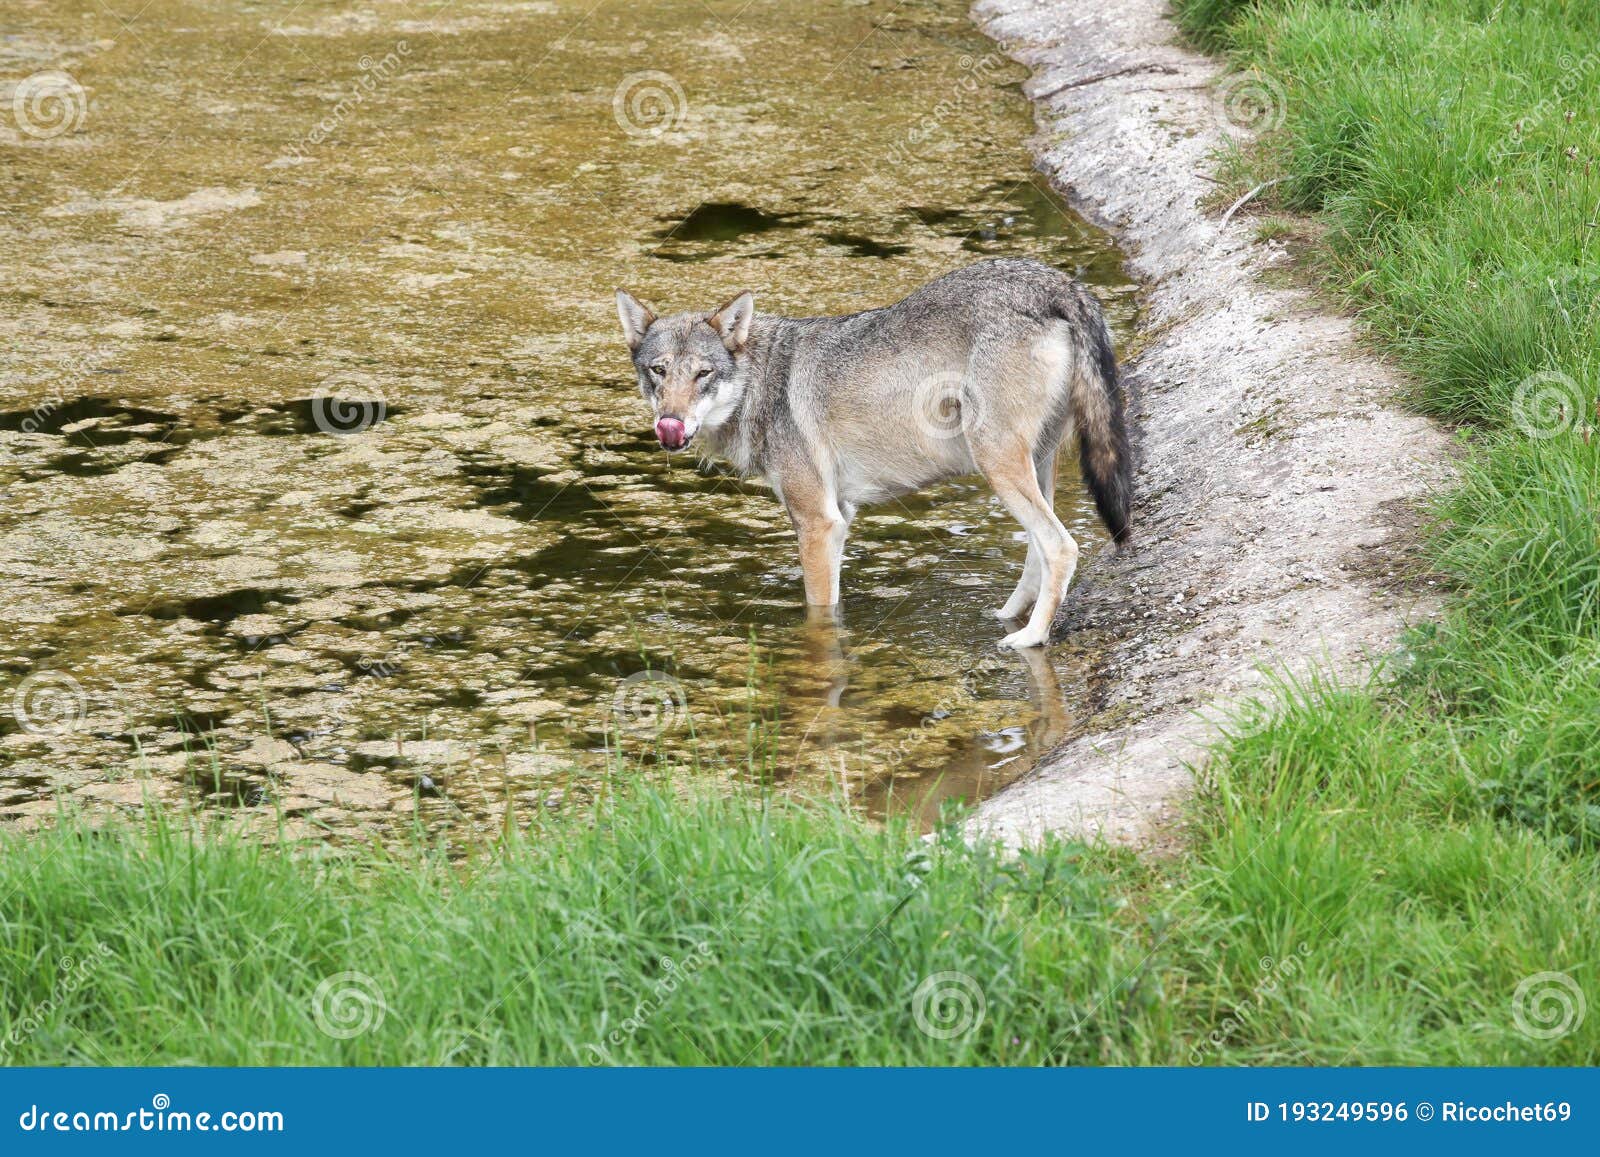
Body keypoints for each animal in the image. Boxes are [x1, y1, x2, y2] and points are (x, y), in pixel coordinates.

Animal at [614, 257, 1131, 649]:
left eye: (702, 374)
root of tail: (1058, 282)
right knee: (1036, 552)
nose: (670, 425)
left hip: (998, 463)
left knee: (1061, 546)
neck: (762, 383)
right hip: (1033, 466)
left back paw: (1030, 637)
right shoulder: (841, 517)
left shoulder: (818, 523)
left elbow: (818, 610)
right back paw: (1005, 616)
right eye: (659, 372)